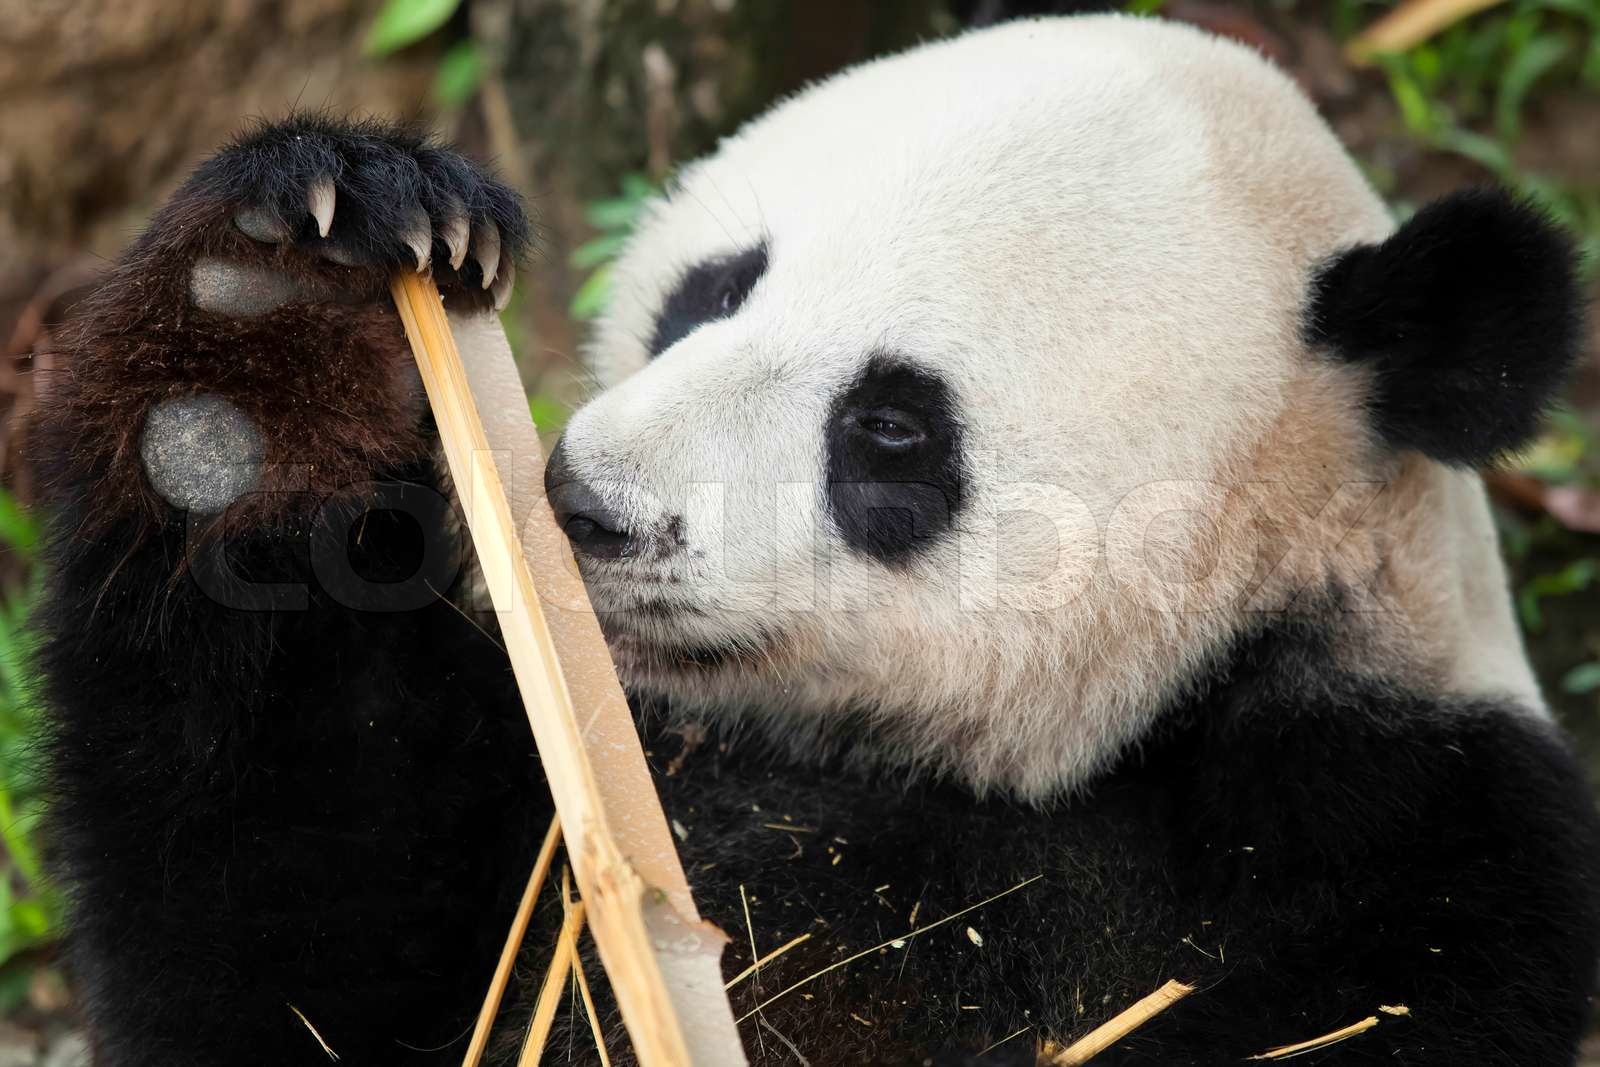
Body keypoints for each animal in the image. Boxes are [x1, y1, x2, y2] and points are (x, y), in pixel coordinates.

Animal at [28, 13, 1600, 1067]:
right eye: (716, 289)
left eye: (892, 428)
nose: (582, 500)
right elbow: (278, 940)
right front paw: (269, 319)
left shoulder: (1413, 868)